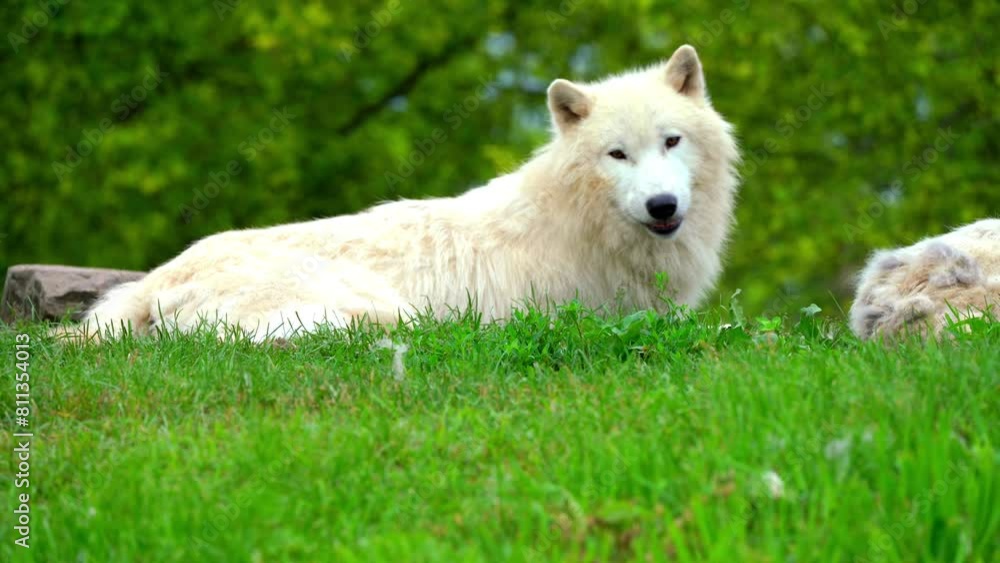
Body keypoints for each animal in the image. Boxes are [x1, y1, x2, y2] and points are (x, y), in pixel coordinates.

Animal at [70, 45, 740, 341]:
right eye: (617, 155)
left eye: (672, 142)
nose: (662, 206)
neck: (582, 223)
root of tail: (154, 279)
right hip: (373, 307)